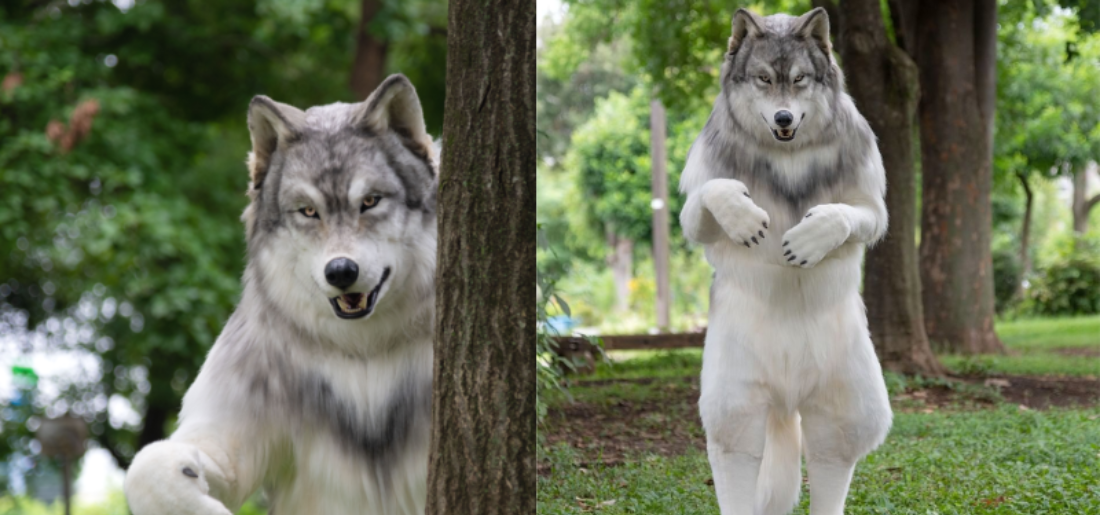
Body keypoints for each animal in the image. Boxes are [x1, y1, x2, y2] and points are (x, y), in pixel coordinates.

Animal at [123, 74, 438, 515]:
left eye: (370, 202)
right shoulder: (222, 441)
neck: (363, 354)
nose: (341, 272)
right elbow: (147, 466)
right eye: (308, 211)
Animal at [678, 8, 892, 515]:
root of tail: (788, 391)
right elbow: (712, 194)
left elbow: (851, 213)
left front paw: (814, 236)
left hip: (845, 394)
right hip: (736, 393)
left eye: (799, 80)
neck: (787, 154)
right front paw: (741, 216)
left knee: (833, 449)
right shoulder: (698, 200)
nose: (783, 117)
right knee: (736, 448)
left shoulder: (868, 202)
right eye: (763, 79)